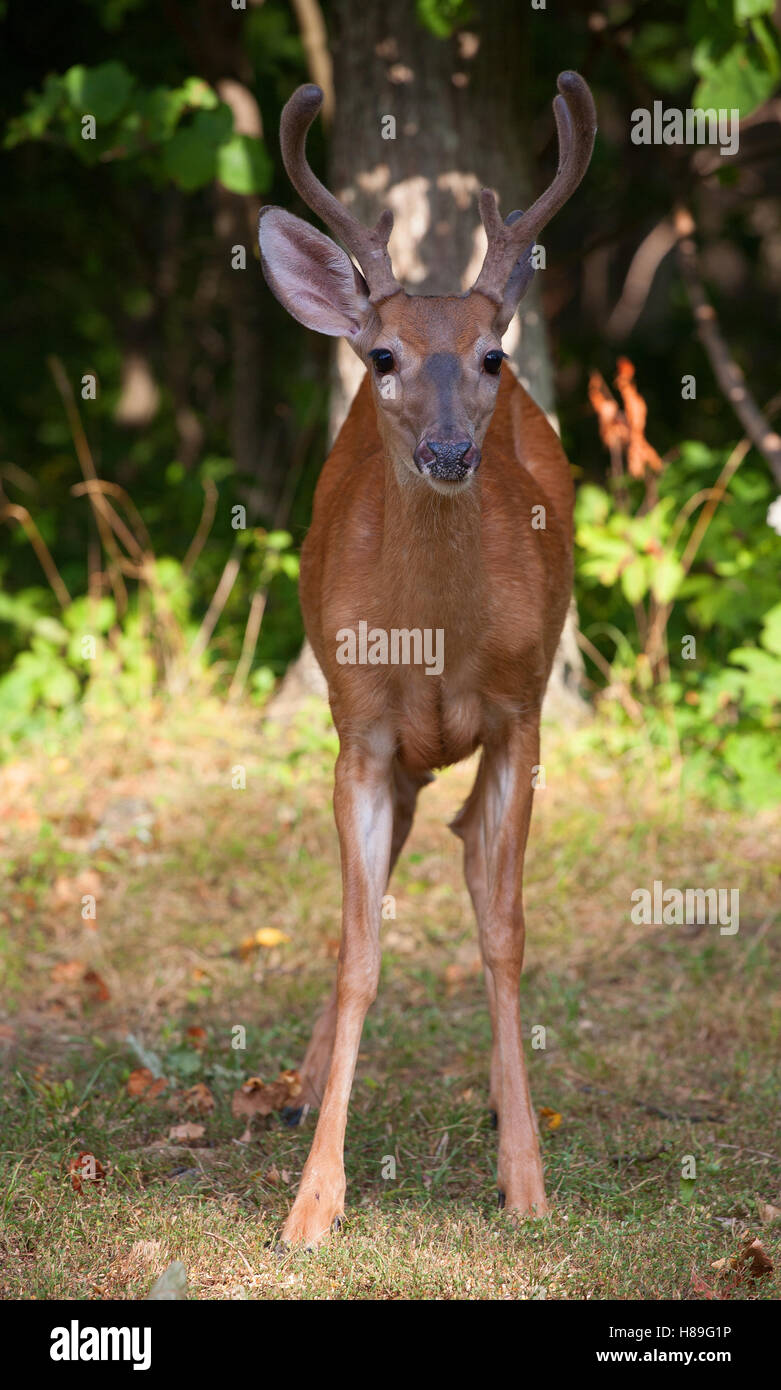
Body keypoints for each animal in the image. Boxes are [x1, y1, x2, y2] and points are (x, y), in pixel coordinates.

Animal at [257, 72, 596, 1247]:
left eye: (490, 355)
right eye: (383, 357)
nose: (451, 450)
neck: (436, 644)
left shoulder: (520, 713)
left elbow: (503, 933)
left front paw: (528, 1181)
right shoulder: (358, 729)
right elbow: (361, 951)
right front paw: (312, 1202)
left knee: (459, 854)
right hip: (376, 739)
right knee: (395, 866)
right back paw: (299, 1086)